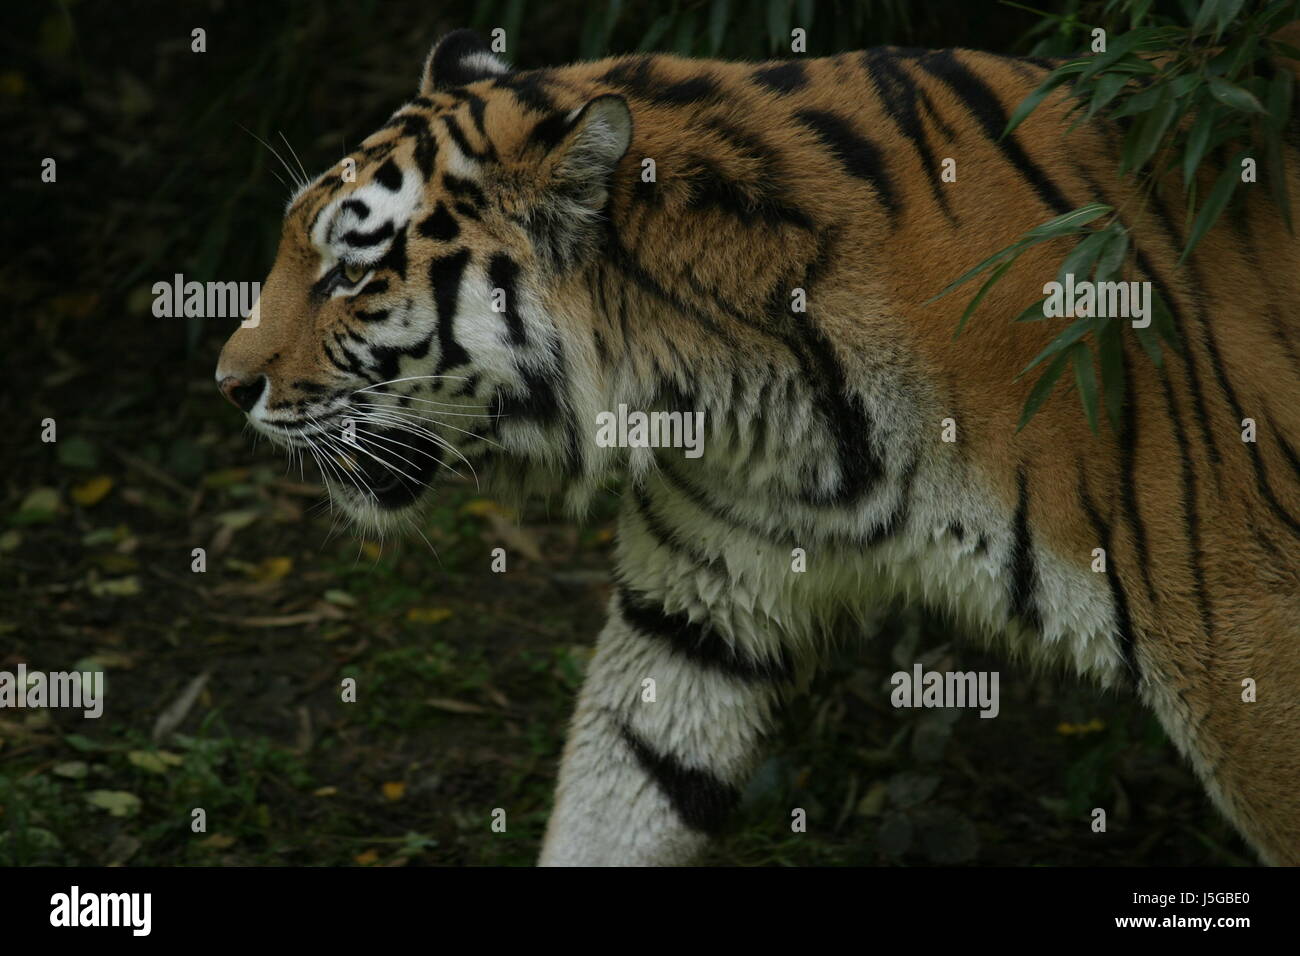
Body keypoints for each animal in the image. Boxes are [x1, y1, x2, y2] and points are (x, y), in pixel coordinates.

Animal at [216, 27, 1300, 865]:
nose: (228, 383)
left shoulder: (1246, 642)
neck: (741, 397)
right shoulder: (696, 611)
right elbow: (619, 792)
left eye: (351, 273)